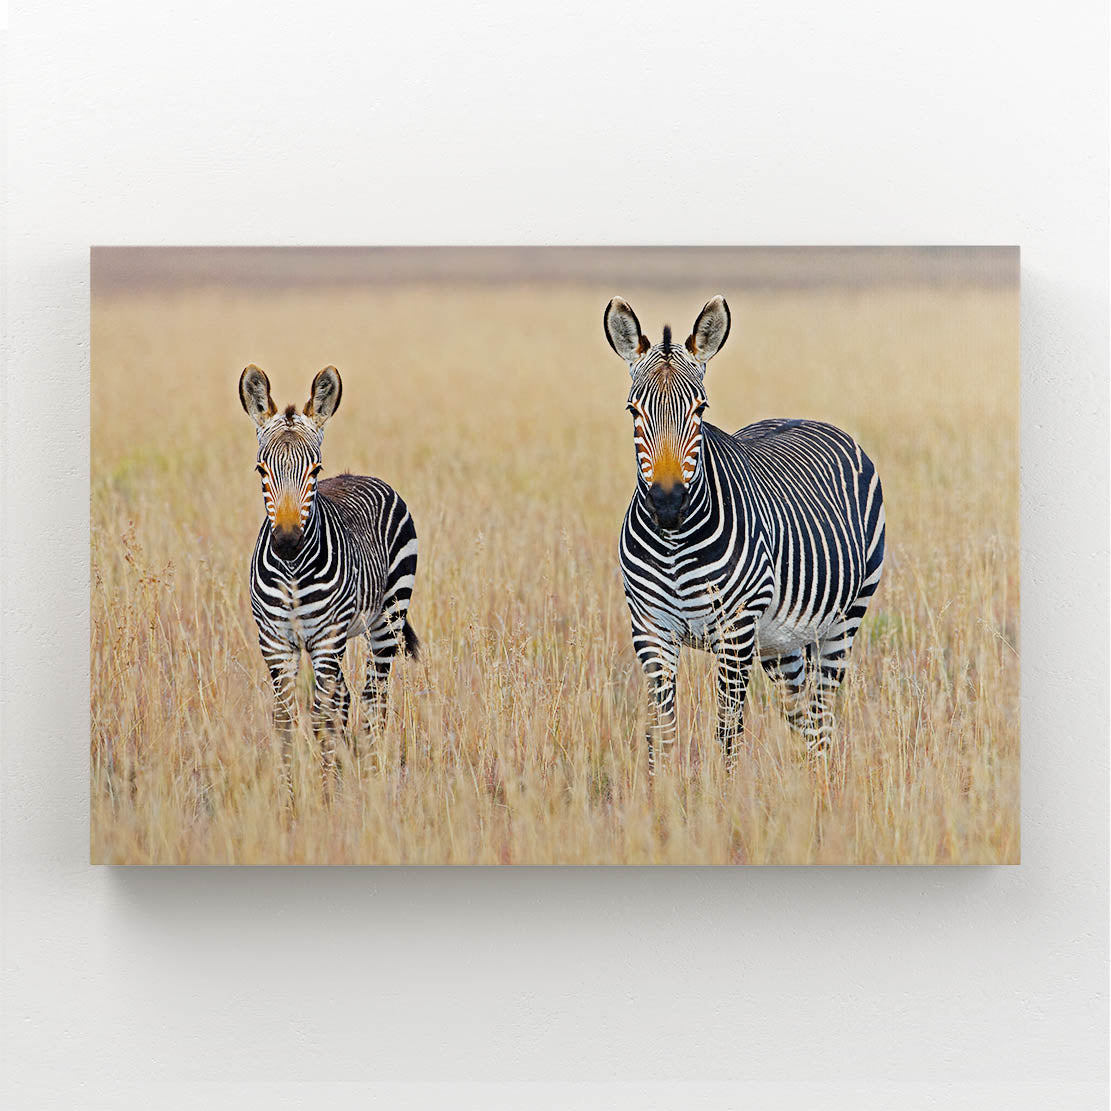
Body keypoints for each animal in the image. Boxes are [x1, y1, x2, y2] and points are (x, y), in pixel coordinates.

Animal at [239, 364, 419, 800]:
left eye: (315, 470)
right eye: (261, 470)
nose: (287, 542)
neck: (291, 571)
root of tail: (361, 475)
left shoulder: (325, 640)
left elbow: (321, 720)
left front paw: (324, 803)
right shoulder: (275, 642)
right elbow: (286, 722)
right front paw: (289, 804)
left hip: (387, 621)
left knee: (374, 700)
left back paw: (371, 781)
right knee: (347, 697)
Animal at [604, 295, 885, 772]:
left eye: (700, 409)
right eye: (633, 411)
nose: (667, 504)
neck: (674, 545)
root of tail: (804, 417)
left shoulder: (736, 631)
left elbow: (727, 732)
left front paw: (723, 794)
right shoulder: (650, 630)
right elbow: (661, 734)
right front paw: (658, 793)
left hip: (843, 620)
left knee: (822, 717)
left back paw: (821, 785)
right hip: (781, 642)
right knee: (800, 715)